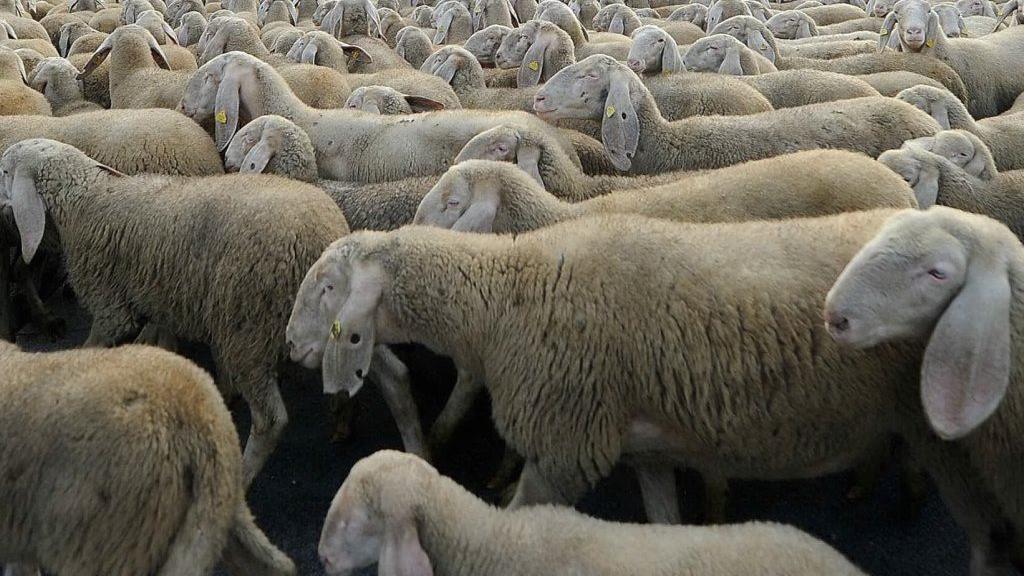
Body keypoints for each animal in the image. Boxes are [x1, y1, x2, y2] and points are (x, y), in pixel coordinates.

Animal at [0, 138, 428, 487]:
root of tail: (319, 238)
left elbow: (93, 346)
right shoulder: (161, 293)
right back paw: (417, 455)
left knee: (271, 420)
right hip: (340, 323)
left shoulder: (111, 307)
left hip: (249, 326)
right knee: (396, 377)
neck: (85, 200)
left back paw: (242, 480)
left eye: (5, 169)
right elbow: (162, 336)